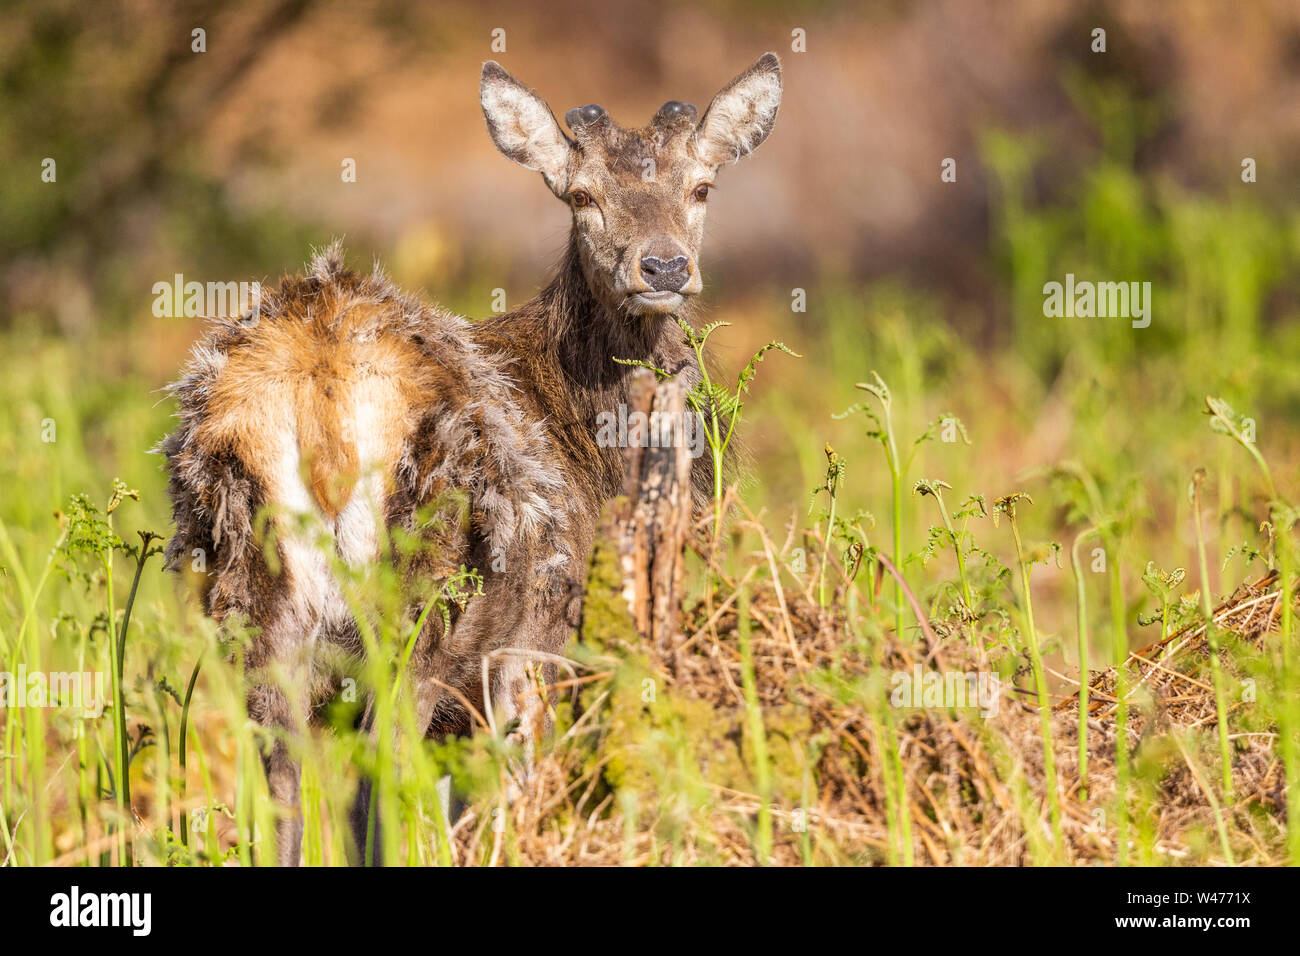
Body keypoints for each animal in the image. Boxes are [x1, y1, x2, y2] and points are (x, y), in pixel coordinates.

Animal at [160, 52, 783, 866]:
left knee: (285, 791)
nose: (665, 266)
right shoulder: (538, 645)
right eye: (583, 195)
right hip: (422, 591)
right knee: (385, 764)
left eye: (702, 186)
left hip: (251, 601)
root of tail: (318, 382)